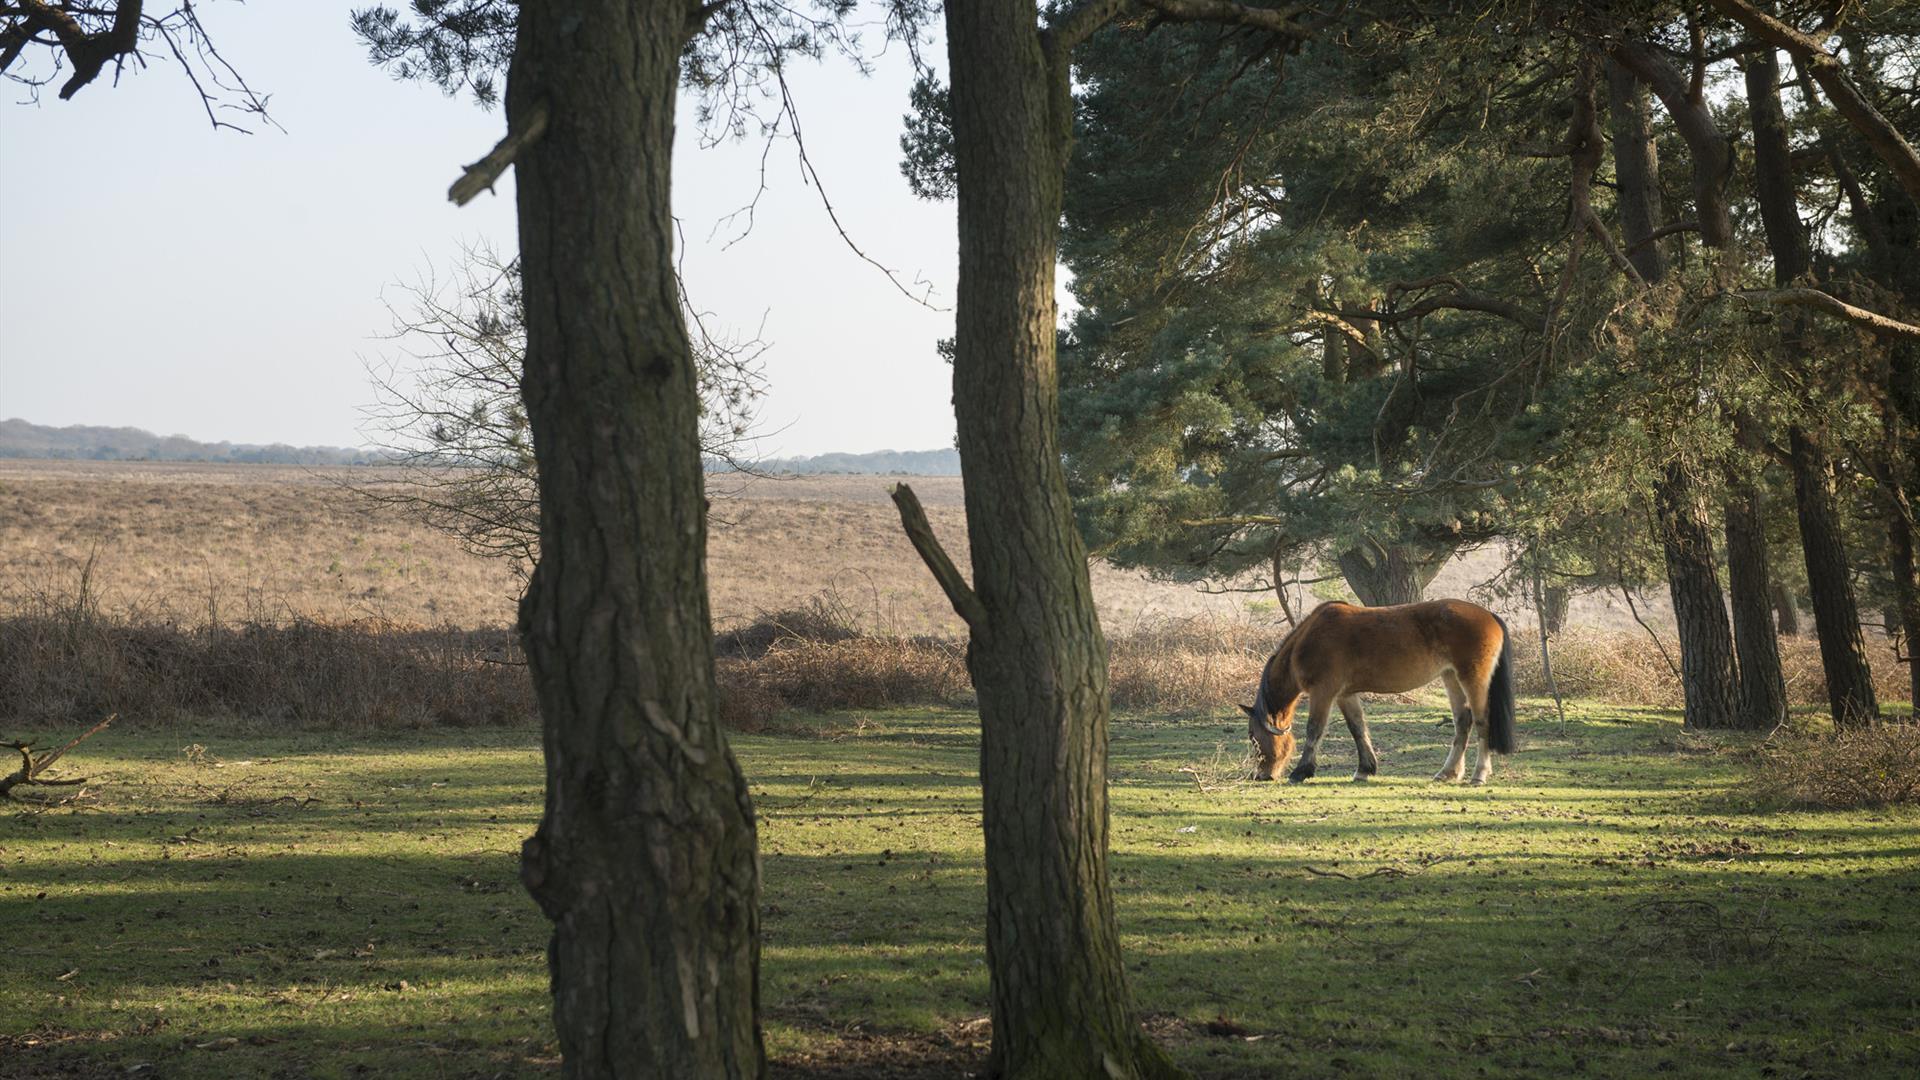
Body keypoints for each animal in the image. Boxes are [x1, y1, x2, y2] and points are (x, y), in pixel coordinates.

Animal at [1244, 595, 1512, 780]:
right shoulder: (1345, 695)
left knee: (1482, 721)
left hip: (1472, 679)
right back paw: (1448, 773)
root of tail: (1490, 616)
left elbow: (1314, 730)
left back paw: (1479, 774)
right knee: (1462, 722)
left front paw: (1302, 771)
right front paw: (1365, 769)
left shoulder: (1323, 692)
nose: (1260, 776)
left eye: (1253, 737)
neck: (1308, 639)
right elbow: (1358, 729)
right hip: (1451, 678)